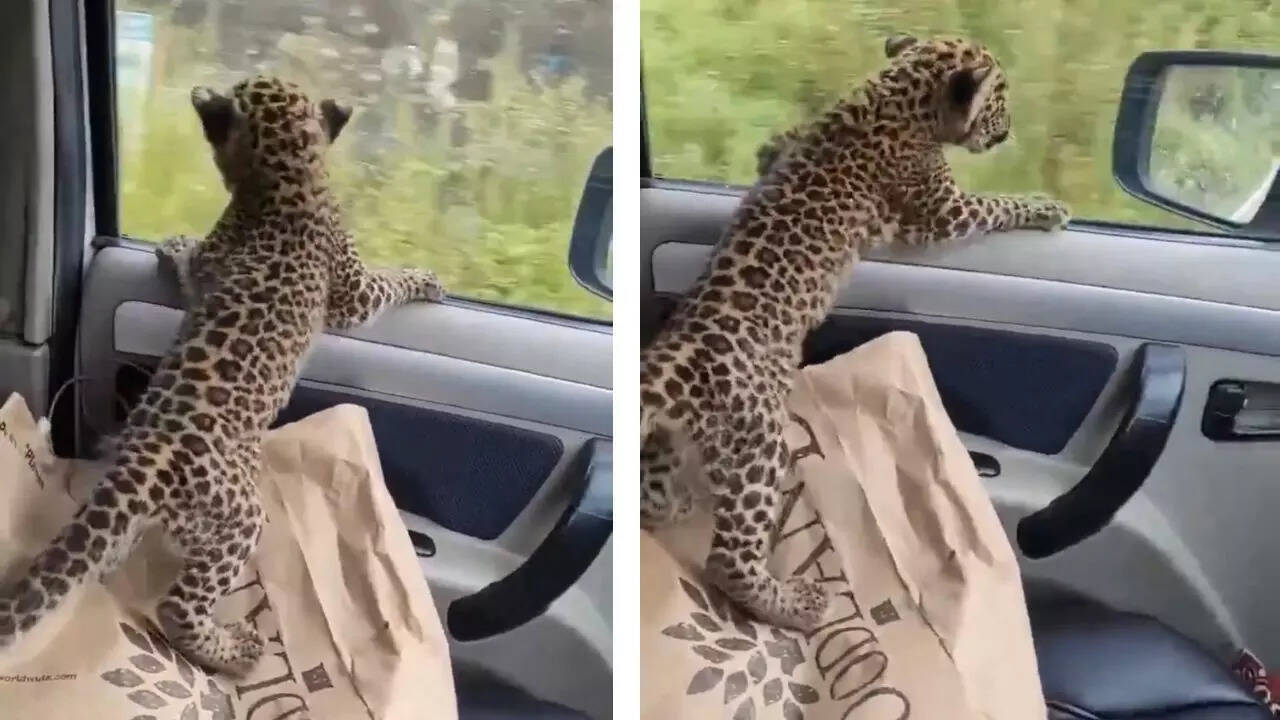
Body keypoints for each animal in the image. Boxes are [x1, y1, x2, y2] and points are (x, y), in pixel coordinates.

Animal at [0, 75, 445, 676]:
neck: (287, 177)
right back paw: (234, 652)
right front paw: (424, 278)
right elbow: (385, 285)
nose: (205, 91)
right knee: (180, 605)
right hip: (240, 515)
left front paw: (173, 249)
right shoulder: (353, 290)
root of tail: (143, 462)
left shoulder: (222, 257)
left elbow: (197, 268)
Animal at [640, 34, 1071, 631]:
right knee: (729, 559)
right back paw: (797, 606)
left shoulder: (784, 145)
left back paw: (678, 506)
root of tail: (671, 360)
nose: (1007, 132)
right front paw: (1045, 206)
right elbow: (997, 205)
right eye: (999, 99)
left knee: (651, 493)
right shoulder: (945, 213)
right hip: (761, 441)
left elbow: (769, 149)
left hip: (668, 441)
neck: (896, 93)